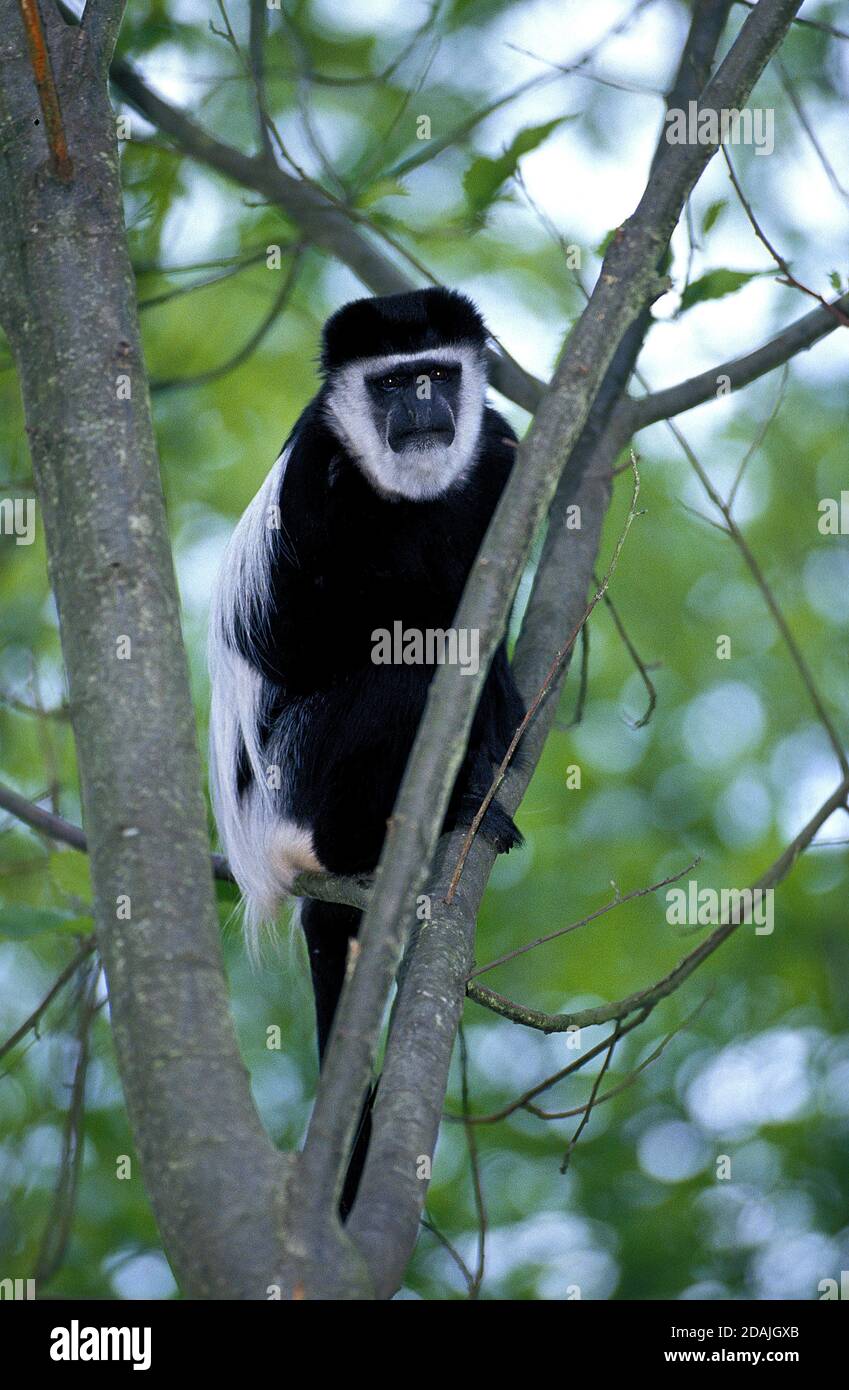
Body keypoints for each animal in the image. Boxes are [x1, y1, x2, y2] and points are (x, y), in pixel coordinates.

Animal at [208, 286, 524, 1087]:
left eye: (436, 375)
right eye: (390, 384)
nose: (419, 408)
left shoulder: (501, 453)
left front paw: (504, 698)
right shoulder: (315, 477)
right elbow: (295, 644)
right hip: (295, 776)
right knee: (407, 677)